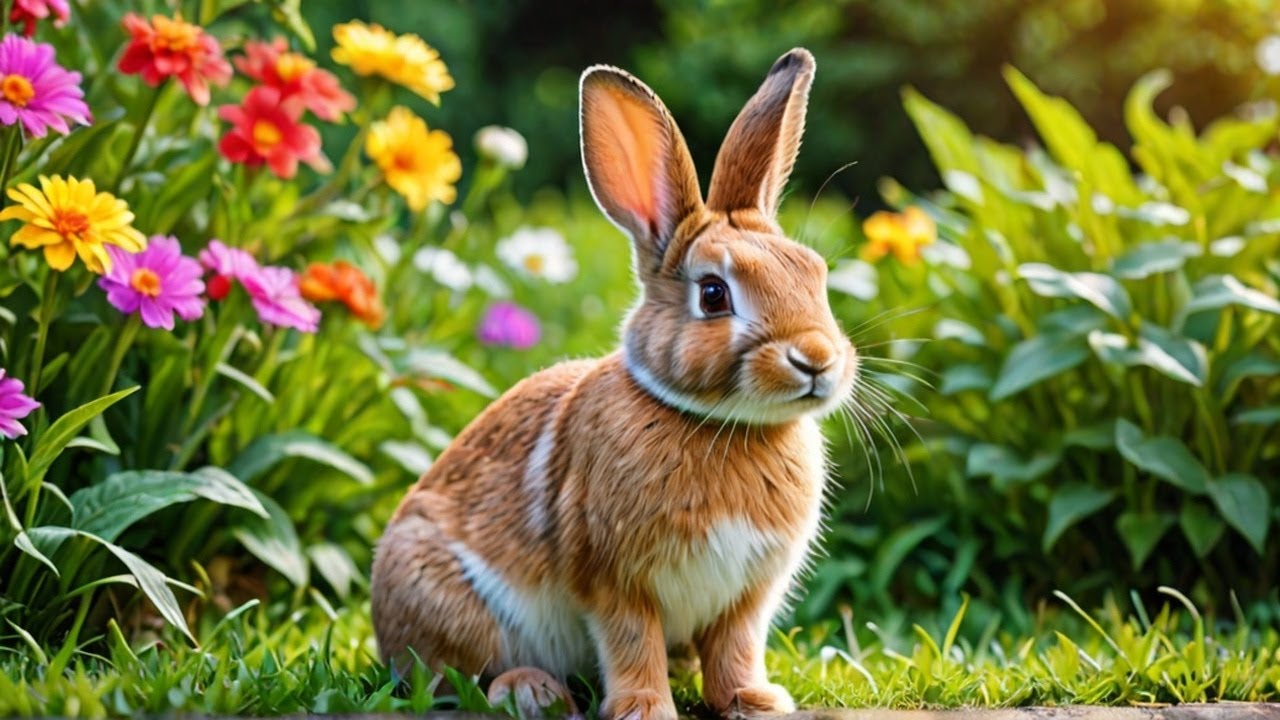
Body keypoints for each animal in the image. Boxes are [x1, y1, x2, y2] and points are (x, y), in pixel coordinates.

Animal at [372, 47, 858, 720]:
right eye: (714, 294)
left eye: (816, 276)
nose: (815, 359)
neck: (718, 422)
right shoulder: (614, 580)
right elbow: (631, 641)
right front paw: (644, 708)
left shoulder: (747, 593)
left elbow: (735, 645)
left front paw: (755, 699)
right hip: (446, 601)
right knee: (456, 678)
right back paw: (530, 691)